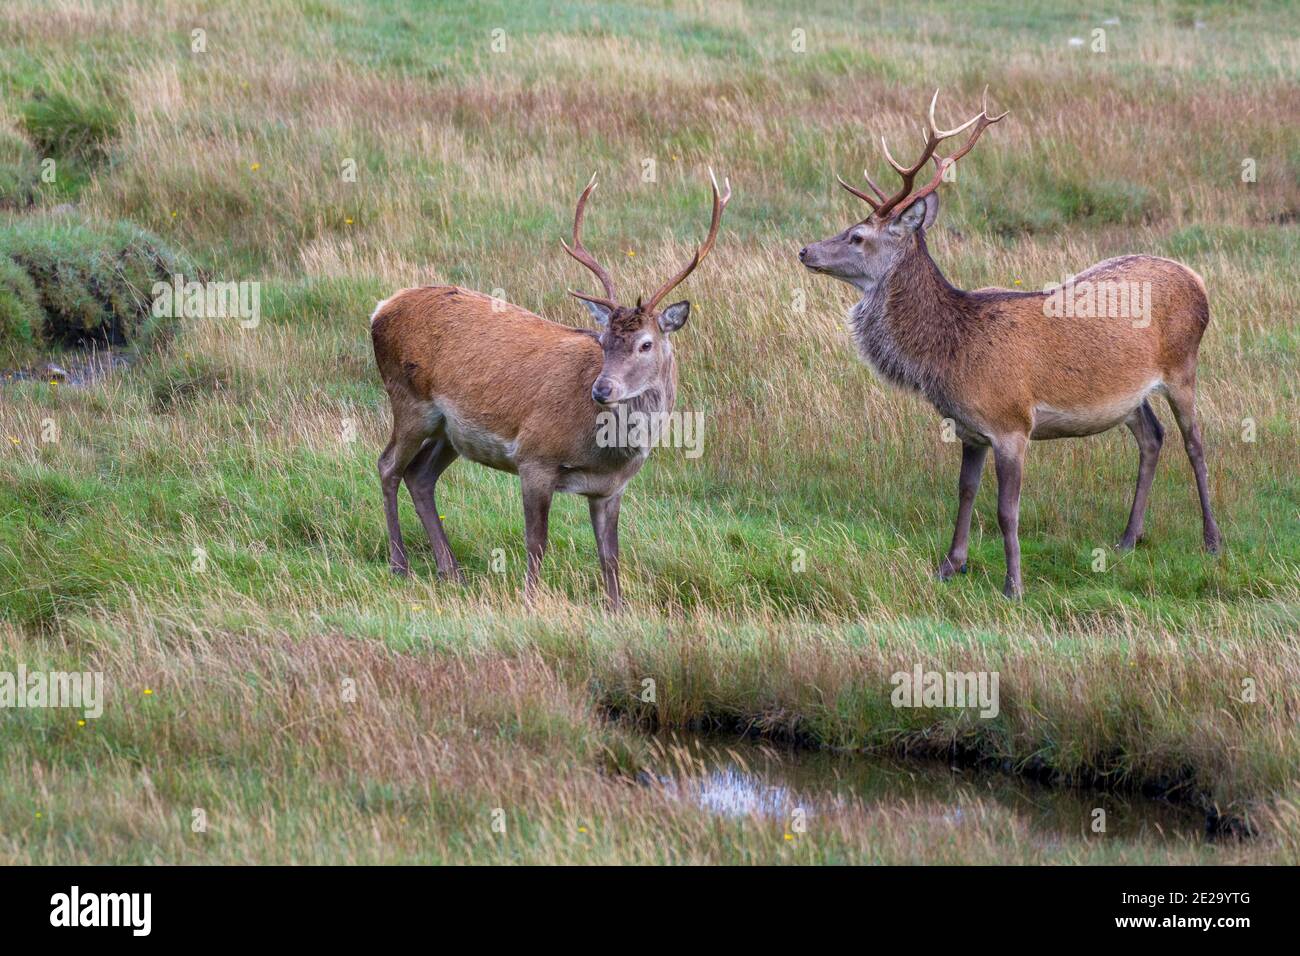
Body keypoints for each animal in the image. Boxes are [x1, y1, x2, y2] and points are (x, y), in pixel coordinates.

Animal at [370, 171, 731, 610]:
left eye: (646, 343)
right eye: (603, 340)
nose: (602, 389)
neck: (605, 451)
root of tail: (381, 308)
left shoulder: (611, 489)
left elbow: (610, 555)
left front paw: (617, 609)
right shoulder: (535, 458)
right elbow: (537, 541)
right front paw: (529, 601)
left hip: (450, 430)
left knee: (420, 475)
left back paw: (451, 571)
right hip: (409, 400)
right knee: (388, 465)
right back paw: (399, 564)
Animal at [799, 89, 1220, 597]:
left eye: (858, 236)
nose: (805, 250)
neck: (949, 355)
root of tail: (1198, 281)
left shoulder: (1012, 424)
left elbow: (1006, 510)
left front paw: (1013, 586)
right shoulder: (968, 427)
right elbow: (964, 492)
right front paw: (949, 566)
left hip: (1183, 365)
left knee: (1195, 442)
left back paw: (1212, 540)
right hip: (1127, 395)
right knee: (1152, 437)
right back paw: (1126, 539)